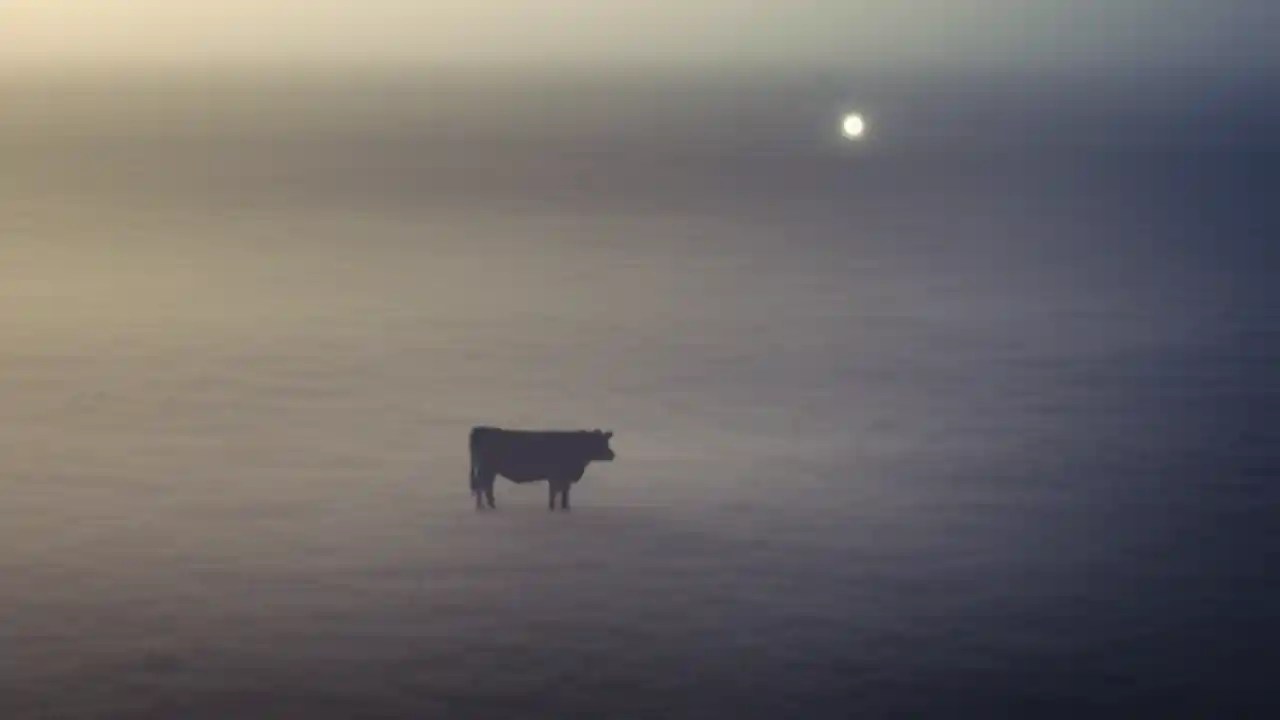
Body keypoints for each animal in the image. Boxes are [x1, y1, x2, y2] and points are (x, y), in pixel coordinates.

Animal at [469, 426, 615, 510]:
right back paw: (484, 507)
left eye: (606, 441)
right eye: (599, 441)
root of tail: (481, 429)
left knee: (485, 486)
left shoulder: (563, 476)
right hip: (486, 469)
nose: (612, 454)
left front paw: (564, 507)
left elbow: (563, 492)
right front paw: (554, 507)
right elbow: (556, 491)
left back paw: (487, 505)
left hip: (489, 470)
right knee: (482, 486)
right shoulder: (557, 474)